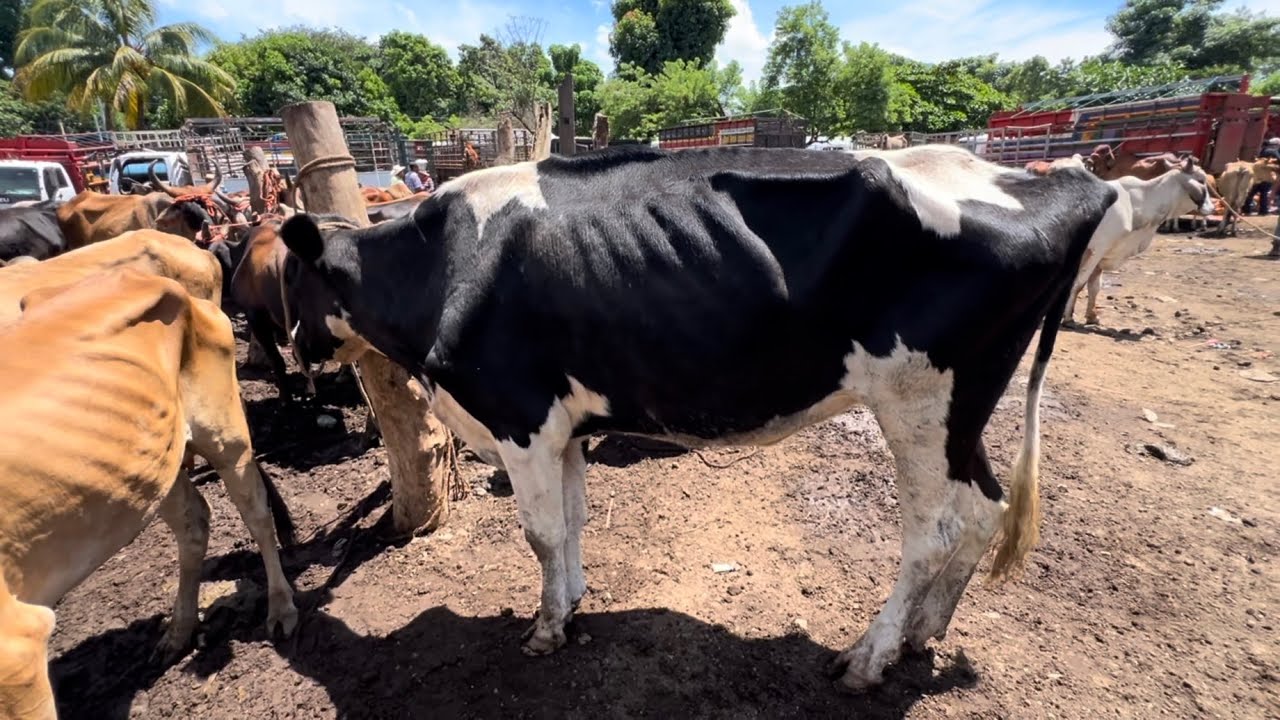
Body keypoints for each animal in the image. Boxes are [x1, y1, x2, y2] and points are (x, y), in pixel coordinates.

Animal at [0, 268, 298, 718]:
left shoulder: (16, 648)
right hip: (152, 468)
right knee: (195, 521)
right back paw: (178, 631)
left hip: (222, 431)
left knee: (257, 515)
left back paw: (280, 606)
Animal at [276, 143, 1117, 691]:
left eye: (289, 274)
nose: (288, 345)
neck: (438, 264)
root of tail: (1068, 183)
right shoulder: (564, 425)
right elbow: (572, 524)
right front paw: (572, 605)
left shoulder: (520, 418)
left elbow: (541, 533)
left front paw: (545, 631)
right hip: (961, 408)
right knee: (984, 509)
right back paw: (921, 634)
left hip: (920, 397)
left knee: (935, 531)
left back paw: (868, 657)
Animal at [1065, 157, 1213, 326]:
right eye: (1201, 180)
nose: (1213, 208)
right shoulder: (1097, 249)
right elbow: (1079, 283)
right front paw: (1068, 317)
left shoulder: (1104, 255)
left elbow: (1095, 286)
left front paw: (1092, 316)